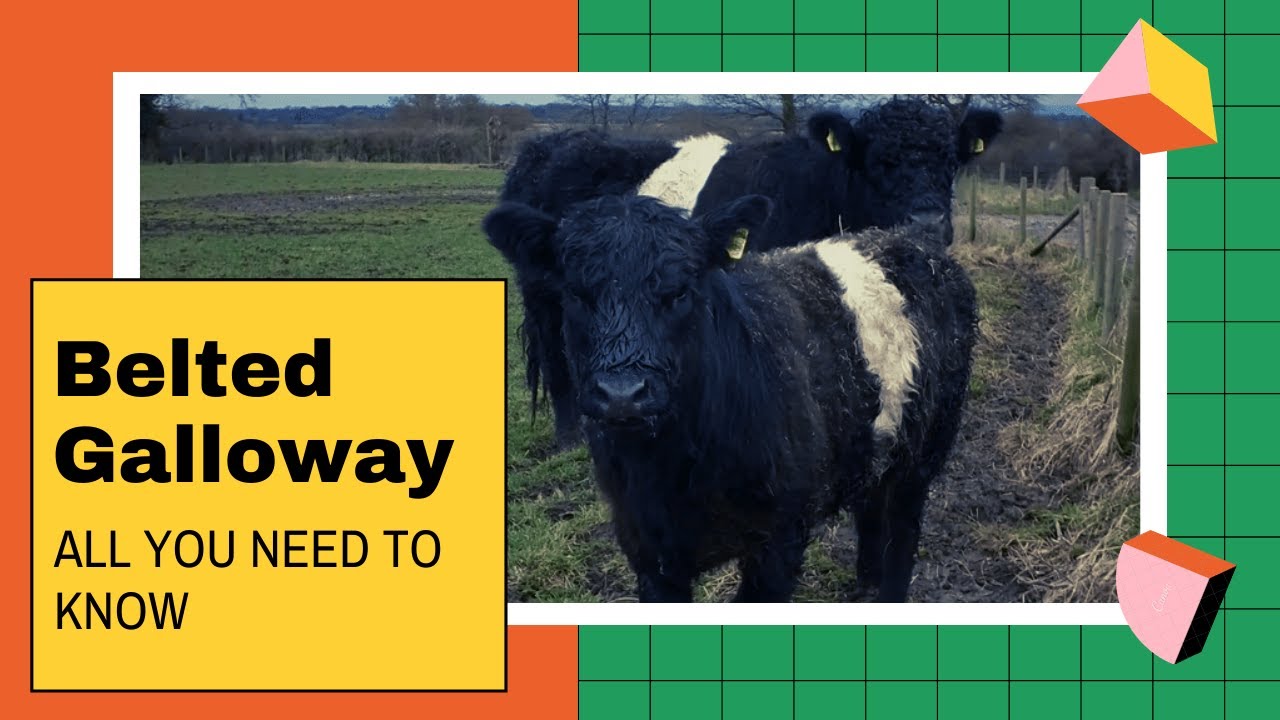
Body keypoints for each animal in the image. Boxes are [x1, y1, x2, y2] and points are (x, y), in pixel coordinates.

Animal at [484, 193, 978, 602]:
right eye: (576, 294)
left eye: (681, 291)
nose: (623, 395)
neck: (673, 470)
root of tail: (909, 238)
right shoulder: (646, 547)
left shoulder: (781, 538)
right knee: (872, 509)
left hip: (928, 446)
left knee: (903, 529)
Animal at [492, 99, 1000, 448]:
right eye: (880, 161)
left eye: (950, 160)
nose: (927, 222)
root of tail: (548, 144)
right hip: (543, 294)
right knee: (555, 358)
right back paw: (571, 437)